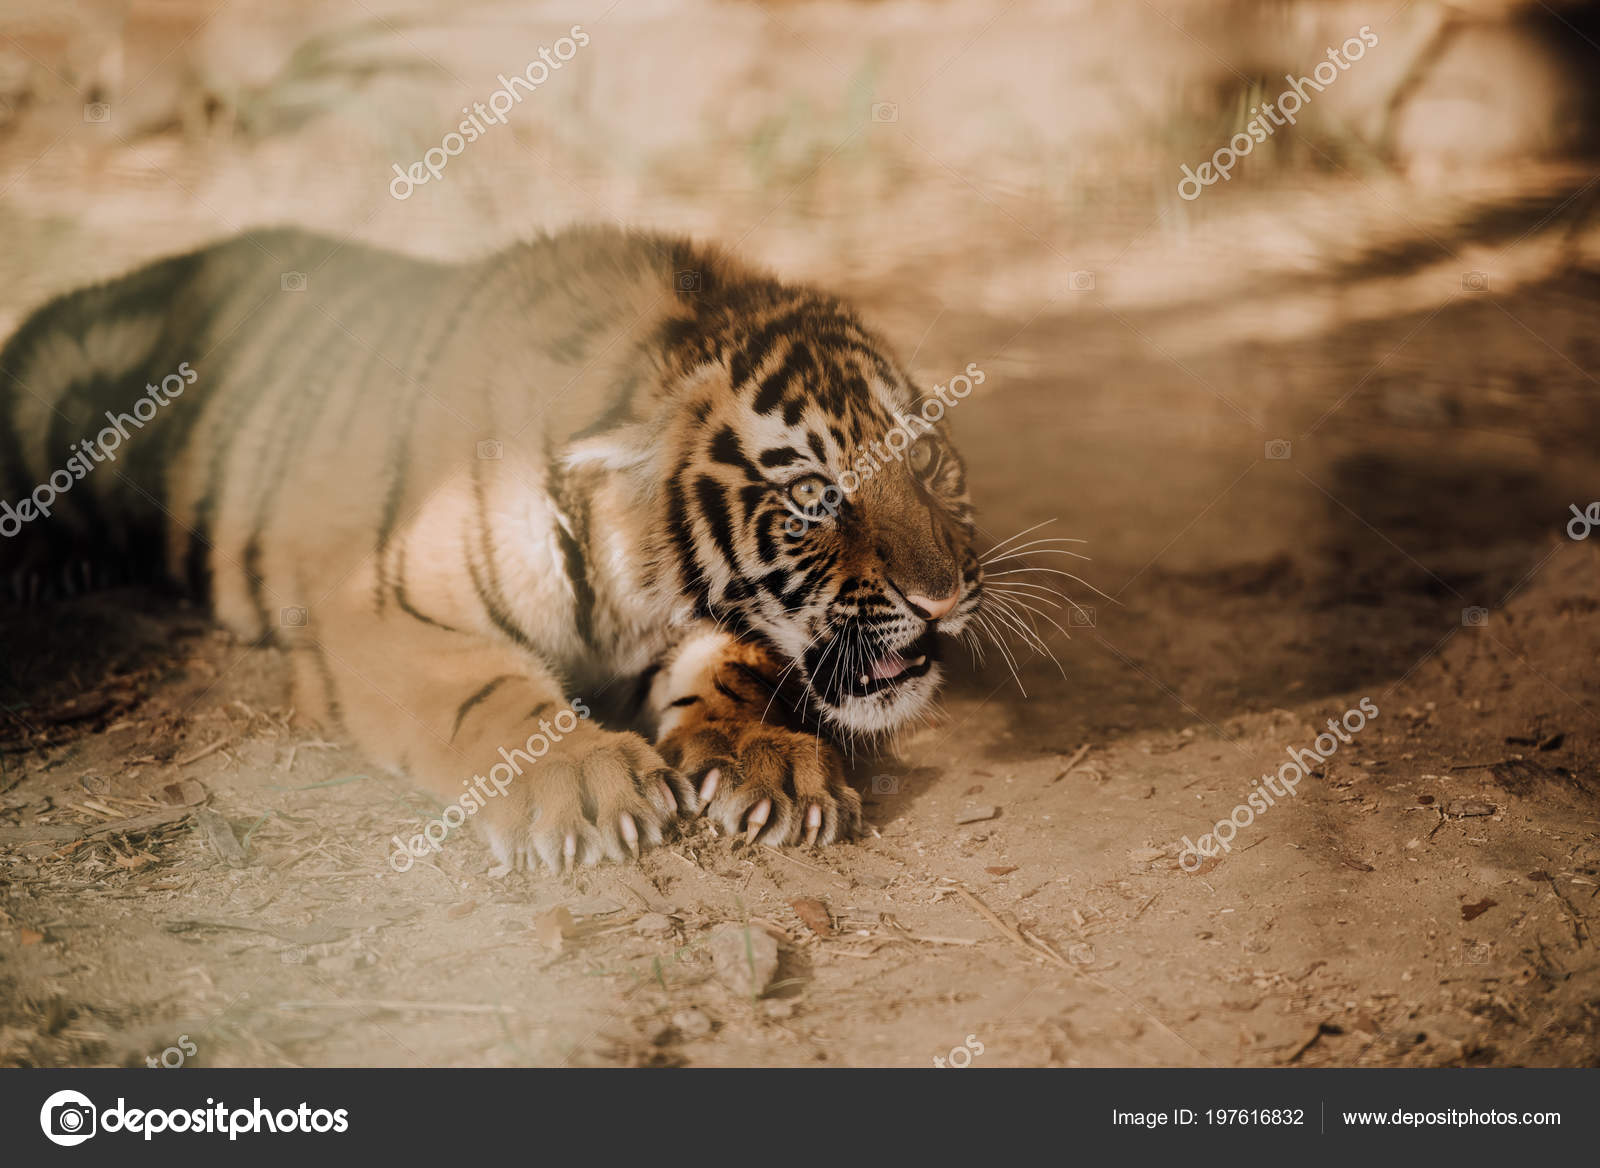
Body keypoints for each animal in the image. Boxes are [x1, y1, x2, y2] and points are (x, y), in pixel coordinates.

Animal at [0, 225, 987, 872]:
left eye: (927, 459)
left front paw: (770, 762)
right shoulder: (382, 609)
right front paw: (581, 782)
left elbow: (737, 666)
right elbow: (490, 694)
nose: (944, 598)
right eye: (812, 495)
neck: (627, 575)